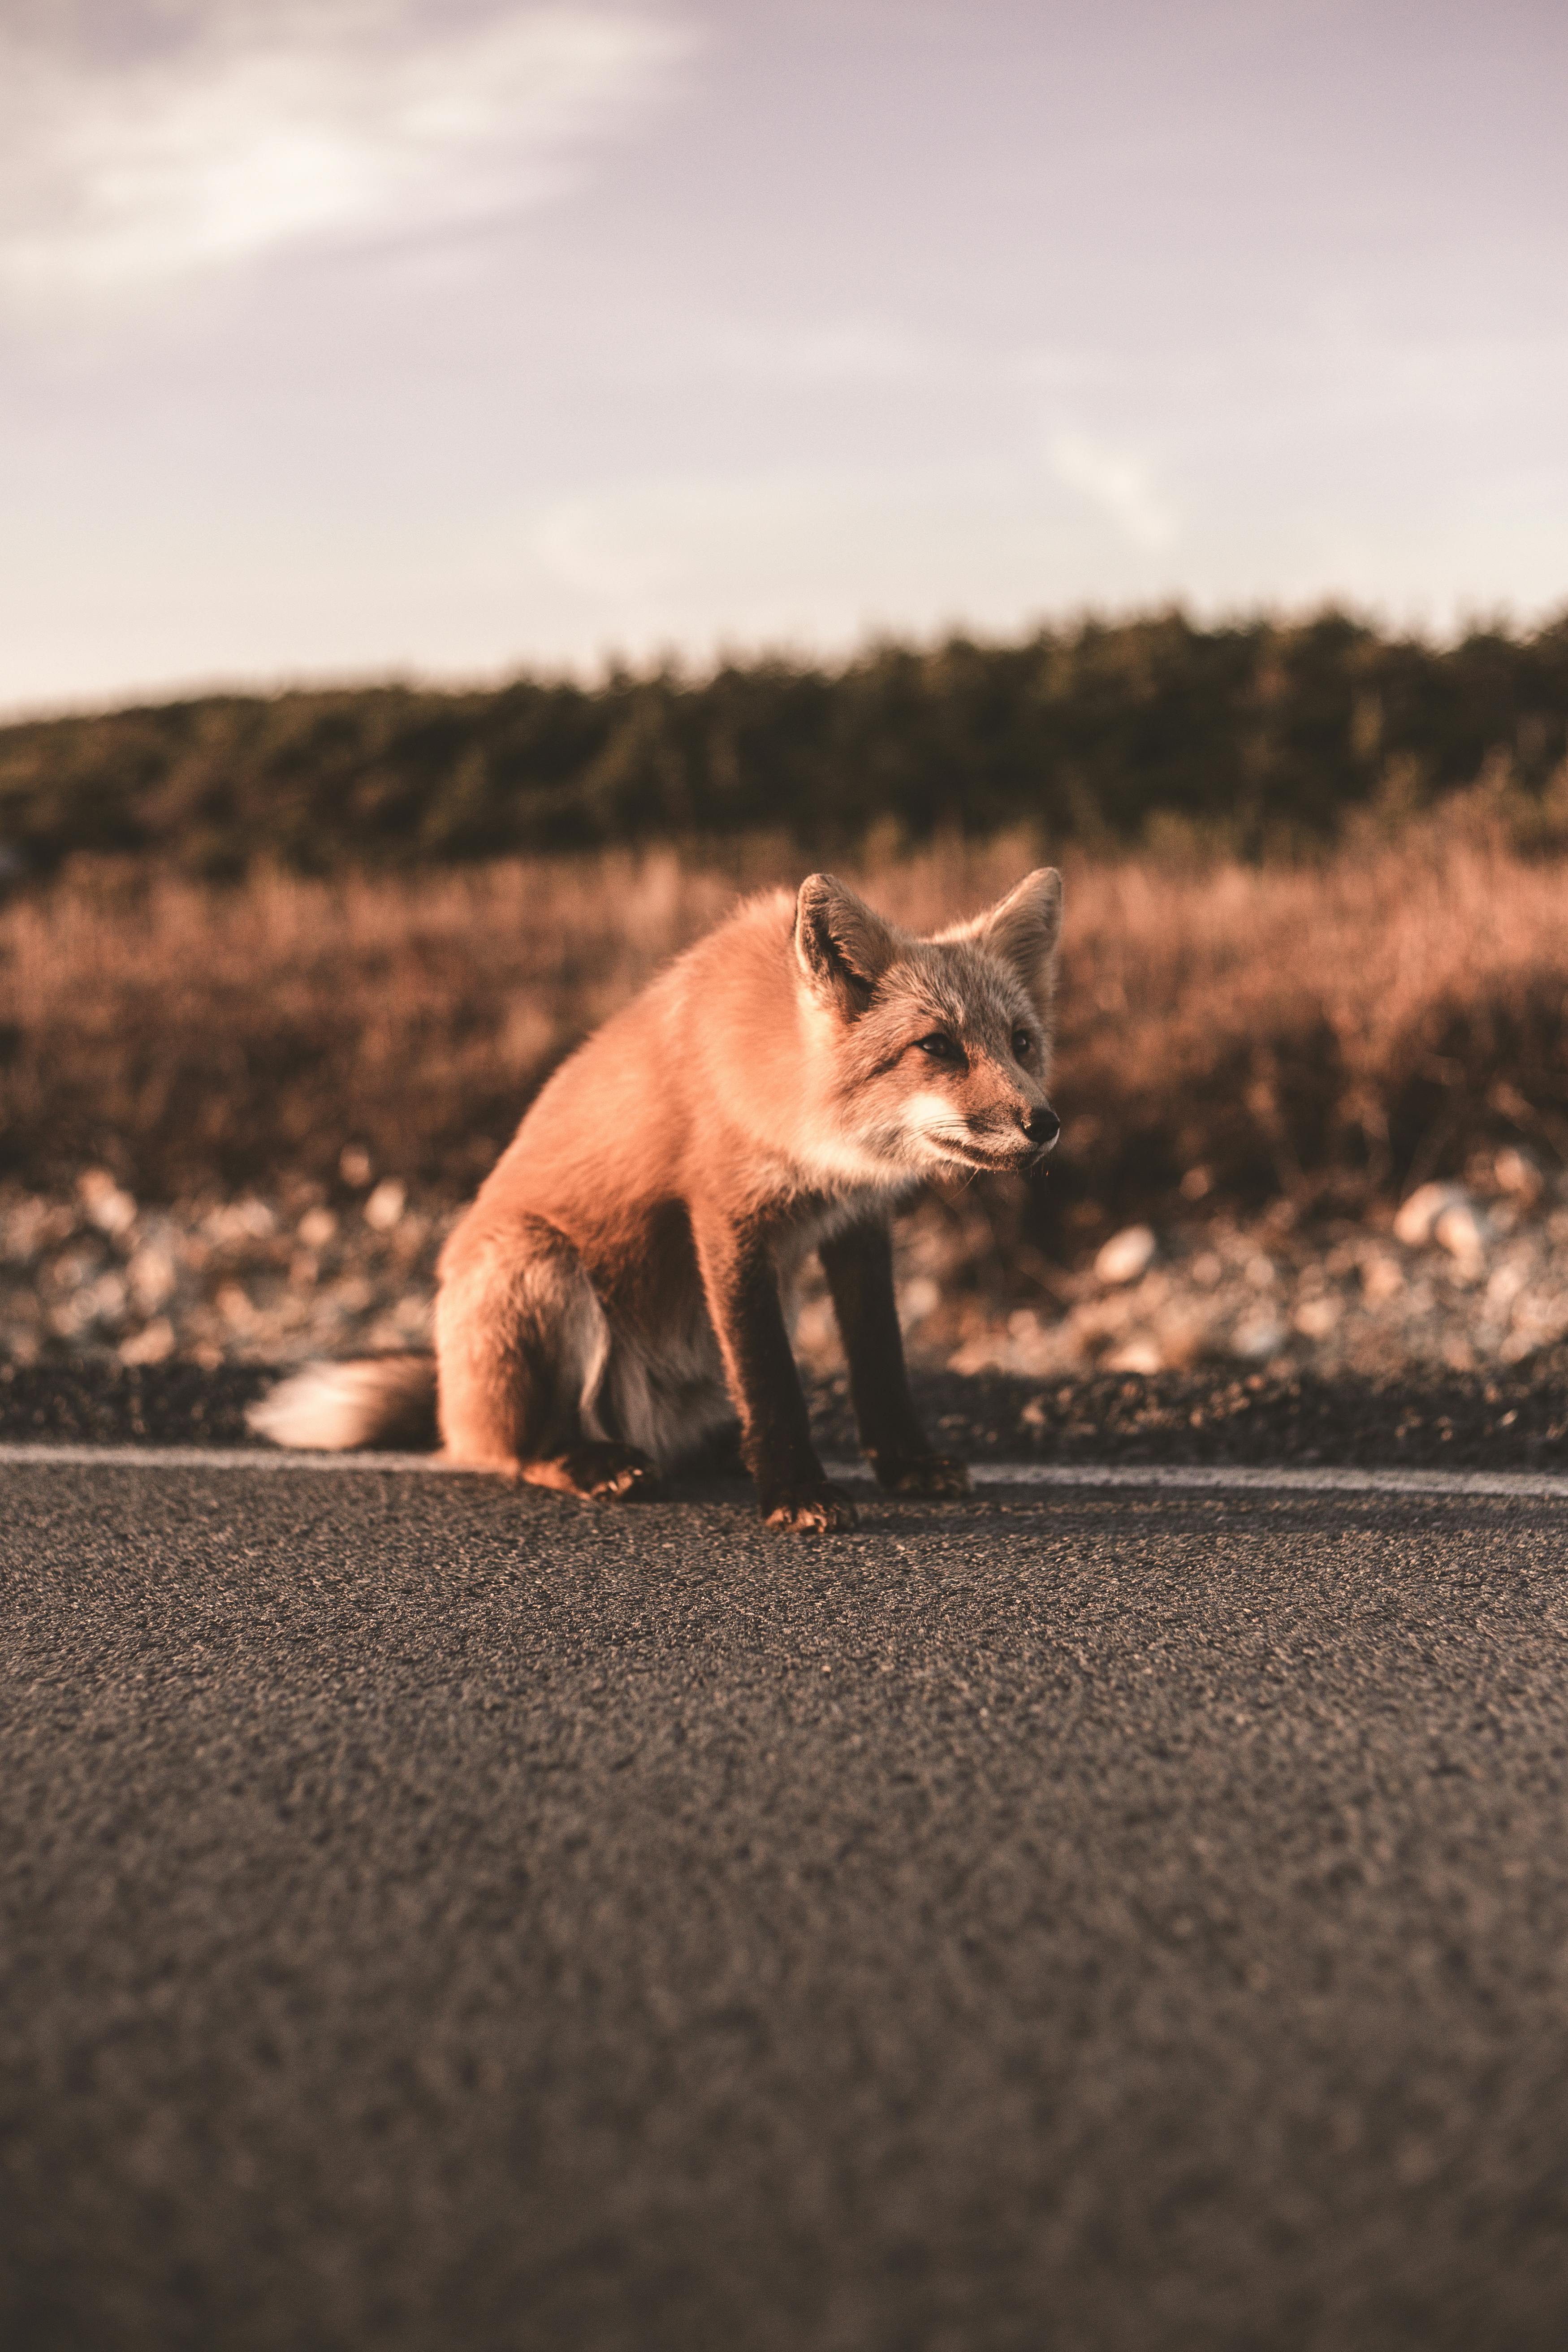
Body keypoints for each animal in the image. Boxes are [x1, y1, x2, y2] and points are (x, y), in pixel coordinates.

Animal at [249, 866, 1063, 1530]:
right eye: (937, 1047)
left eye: (1020, 1042)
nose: (1044, 1124)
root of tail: (450, 1403)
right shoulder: (725, 1218)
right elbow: (769, 1374)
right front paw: (794, 1491)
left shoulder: (855, 1223)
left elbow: (879, 1360)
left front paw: (902, 1464)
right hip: (540, 1264)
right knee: (521, 1449)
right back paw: (595, 1462)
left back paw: (722, 1451)